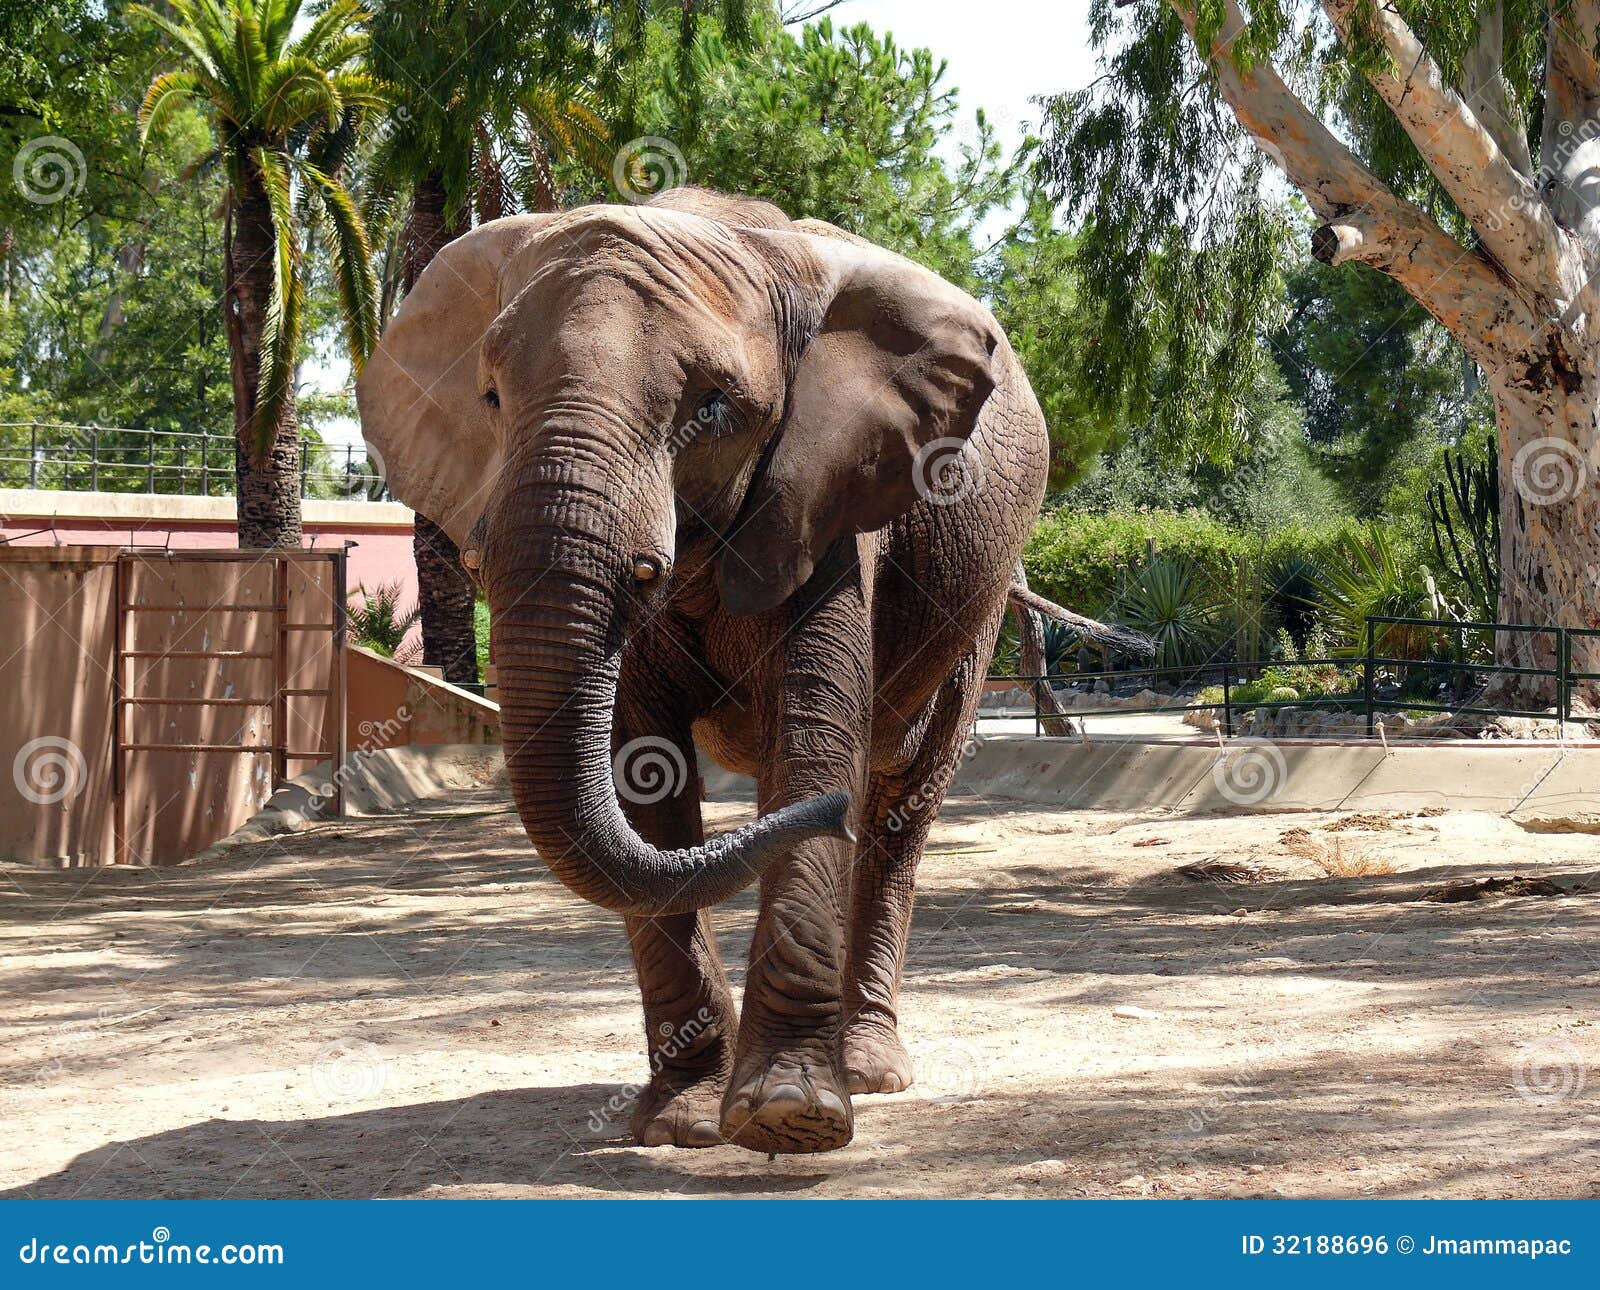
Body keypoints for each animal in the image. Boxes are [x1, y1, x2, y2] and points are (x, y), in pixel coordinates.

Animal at [355, 188, 1142, 1156]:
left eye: (715, 407)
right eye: (492, 396)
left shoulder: (833, 497)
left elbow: (811, 744)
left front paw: (790, 1115)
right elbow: (642, 778)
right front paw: (684, 1121)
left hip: (982, 601)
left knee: (901, 807)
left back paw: (871, 1068)